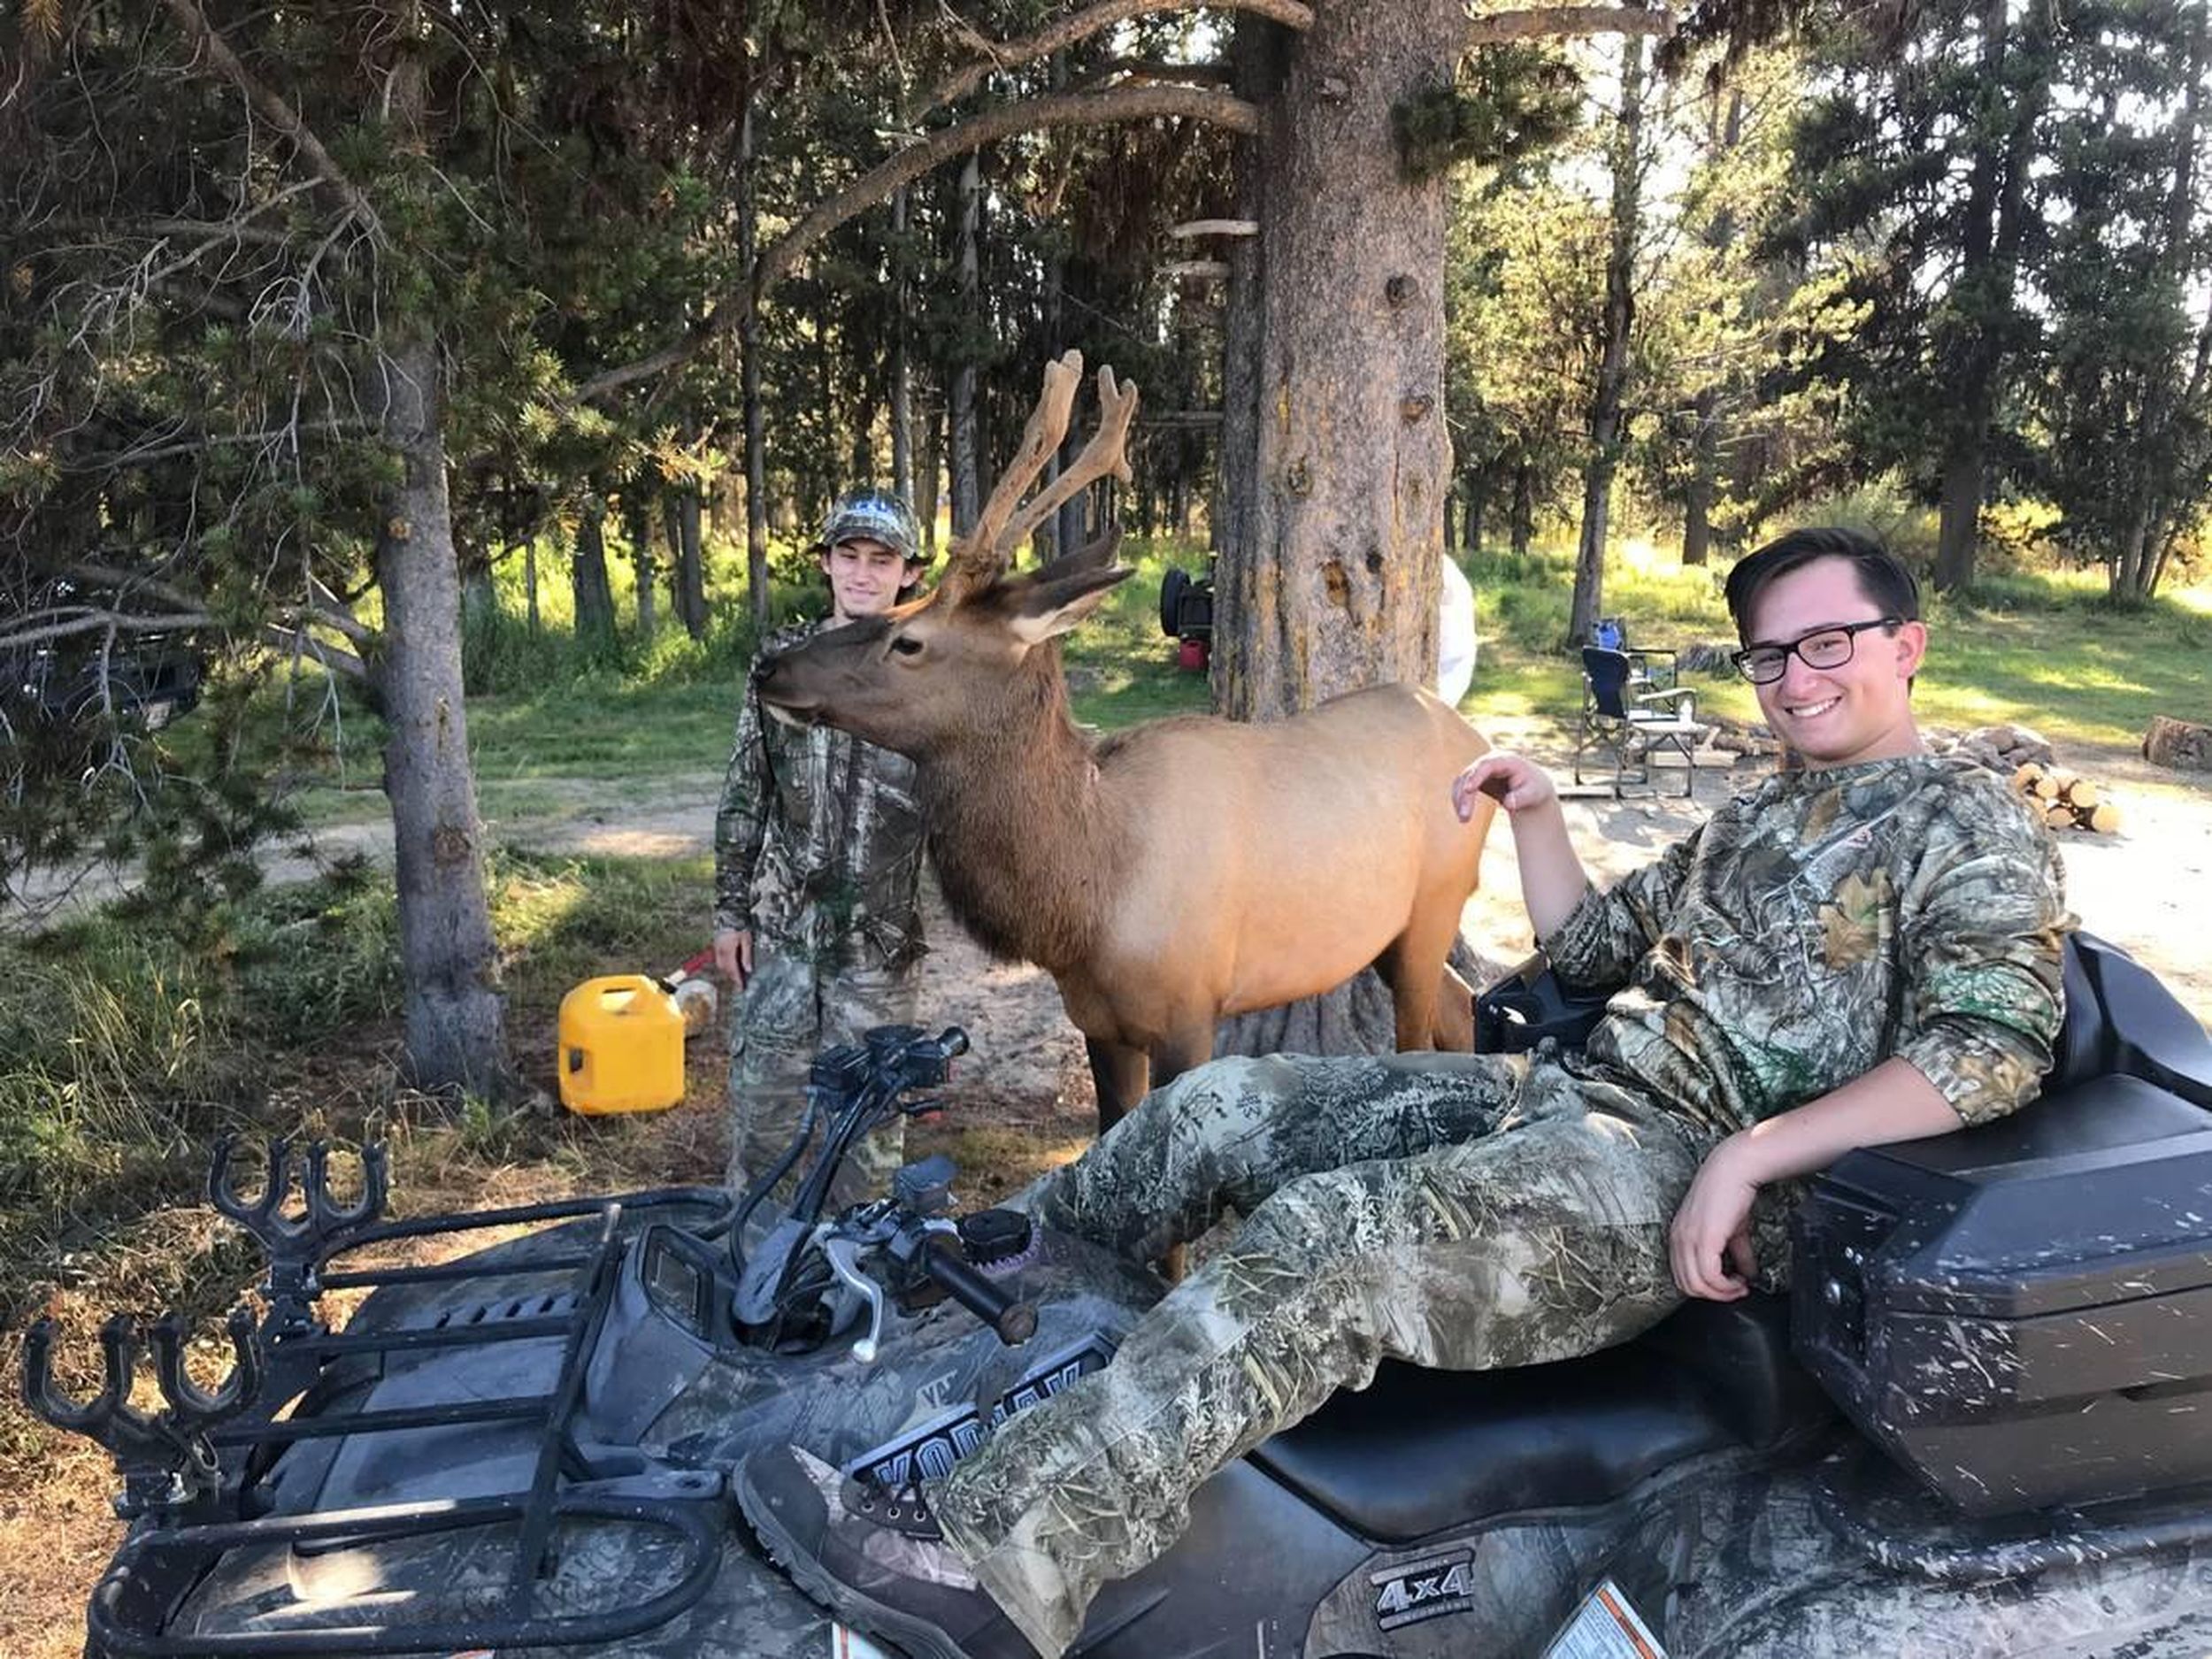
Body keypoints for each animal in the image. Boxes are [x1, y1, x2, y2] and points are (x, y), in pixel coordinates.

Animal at [753, 351, 1500, 1133]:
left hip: (1437, 900)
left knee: (1423, 1029)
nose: (770, 667)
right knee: (1460, 1010)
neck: (1086, 903)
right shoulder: (1097, 1022)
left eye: (909, 639)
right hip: (1387, 932)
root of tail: (1471, 733)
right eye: (899, 602)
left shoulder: (1190, 1009)